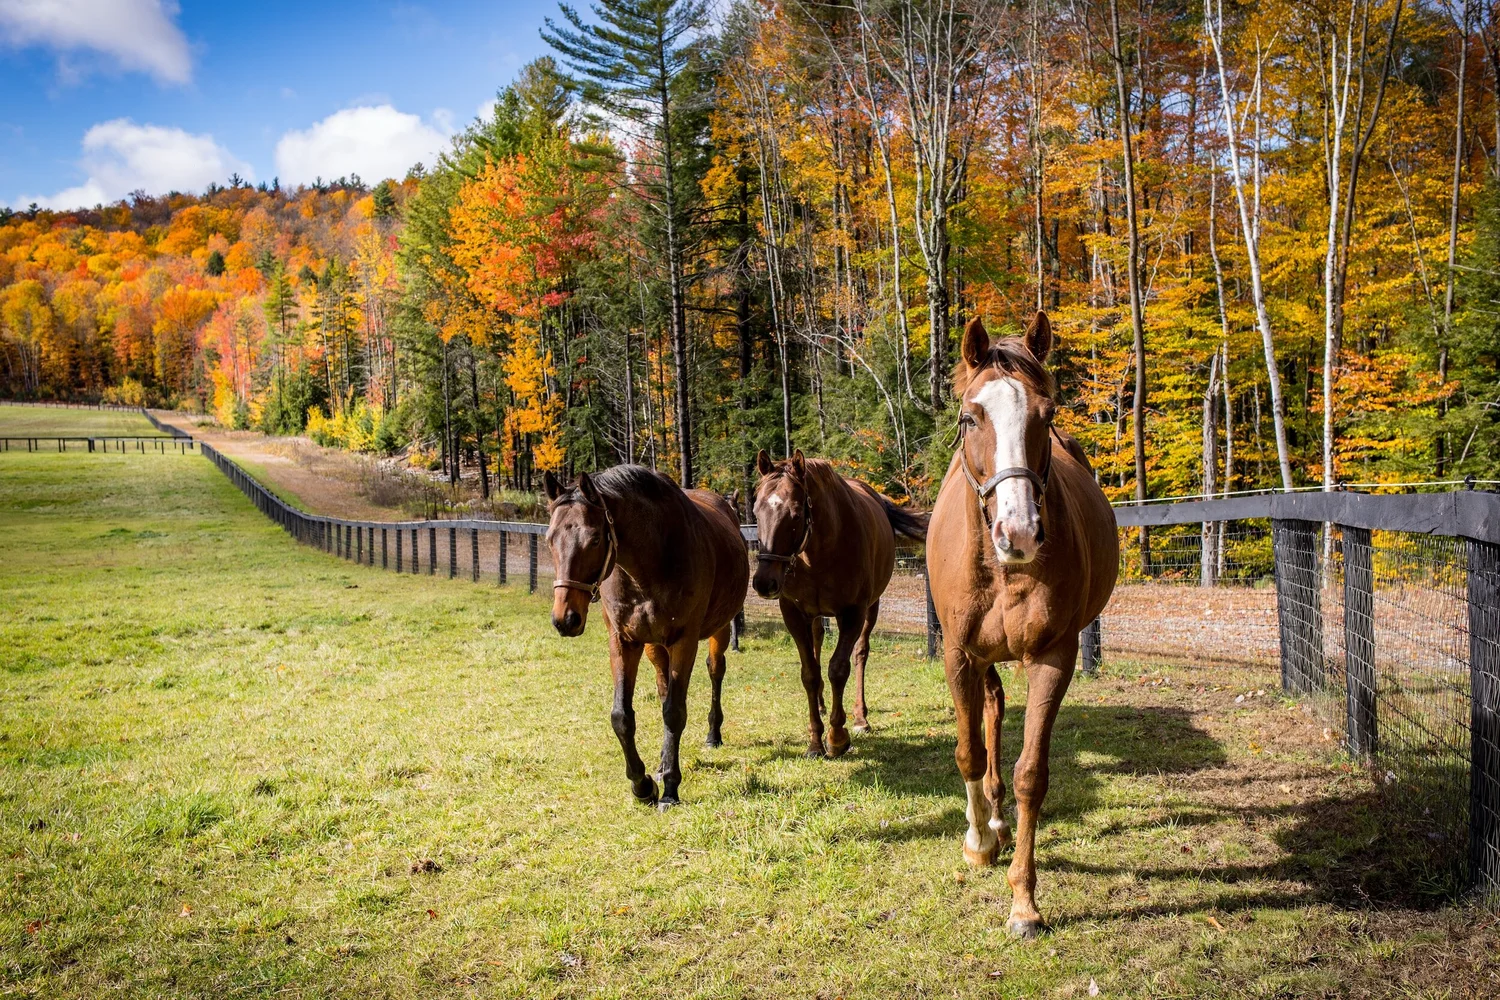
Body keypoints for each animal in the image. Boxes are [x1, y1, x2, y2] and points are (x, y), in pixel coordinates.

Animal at [544, 465, 749, 809]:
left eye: (595, 538)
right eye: (549, 539)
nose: (565, 619)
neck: (651, 561)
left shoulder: (684, 641)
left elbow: (674, 712)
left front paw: (669, 788)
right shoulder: (624, 641)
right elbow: (622, 716)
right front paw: (643, 784)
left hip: (718, 631)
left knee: (714, 671)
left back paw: (712, 734)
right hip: (655, 646)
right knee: (664, 687)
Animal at [751, 449, 928, 758]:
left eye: (795, 514)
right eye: (756, 511)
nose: (764, 582)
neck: (819, 551)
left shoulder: (853, 613)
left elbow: (838, 668)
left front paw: (836, 737)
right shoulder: (793, 614)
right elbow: (809, 672)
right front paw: (814, 741)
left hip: (871, 609)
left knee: (860, 654)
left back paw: (860, 717)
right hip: (815, 616)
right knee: (817, 644)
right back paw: (822, 705)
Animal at [926, 312, 1118, 938]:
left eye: (1047, 415)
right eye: (971, 416)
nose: (1020, 533)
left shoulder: (1053, 657)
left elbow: (1031, 774)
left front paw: (1024, 902)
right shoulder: (959, 654)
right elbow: (968, 751)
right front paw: (978, 842)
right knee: (987, 716)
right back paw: (988, 822)